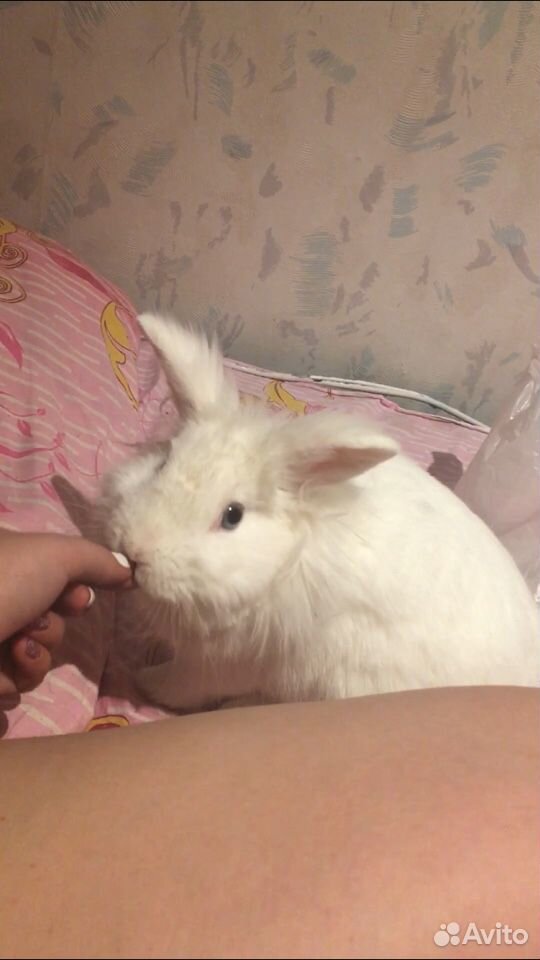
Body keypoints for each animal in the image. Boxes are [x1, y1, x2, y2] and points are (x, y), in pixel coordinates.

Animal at [100, 312, 539, 712]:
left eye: (232, 515)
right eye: (162, 465)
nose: (136, 552)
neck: (288, 559)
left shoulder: (226, 662)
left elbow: (182, 684)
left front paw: (144, 682)